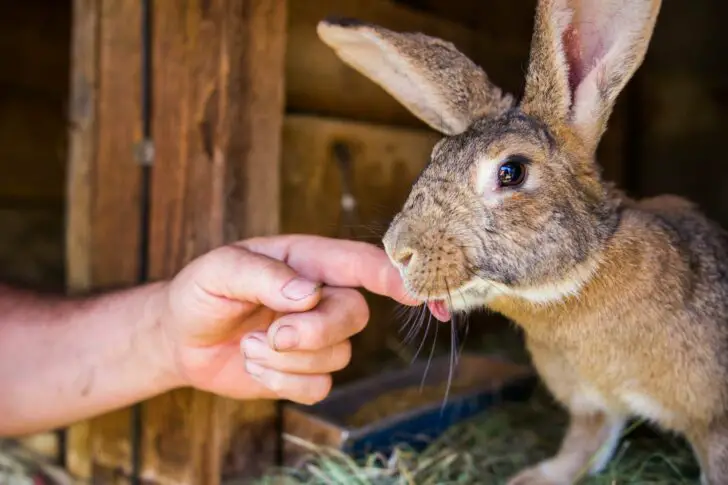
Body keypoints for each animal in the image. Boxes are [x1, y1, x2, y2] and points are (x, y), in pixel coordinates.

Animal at [316, 1, 728, 484]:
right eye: (435, 158)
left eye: (511, 171)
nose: (398, 251)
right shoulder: (592, 405)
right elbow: (584, 443)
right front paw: (534, 477)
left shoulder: (714, 421)